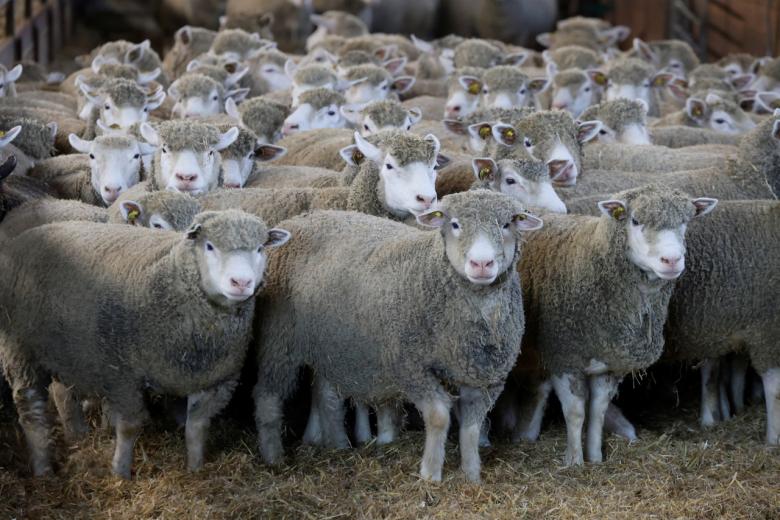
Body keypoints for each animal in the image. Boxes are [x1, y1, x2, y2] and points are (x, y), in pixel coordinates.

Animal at [0, 209, 290, 477]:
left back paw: (77, 435)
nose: (241, 282)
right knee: (31, 409)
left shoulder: (215, 381)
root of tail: (27, 236)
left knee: (62, 392)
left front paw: (195, 468)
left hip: (66, 350)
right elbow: (129, 427)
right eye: (209, 246)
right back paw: (43, 469)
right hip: (20, 349)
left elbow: (196, 427)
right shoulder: (121, 377)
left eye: (260, 248)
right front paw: (120, 473)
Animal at [253, 189, 542, 482]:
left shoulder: (485, 378)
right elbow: (439, 416)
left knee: (327, 395)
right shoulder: (409, 365)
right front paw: (430, 473)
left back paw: (338, 445)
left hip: (330, 344)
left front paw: (471, 475)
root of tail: (300, 219)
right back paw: (274, 456)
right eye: (455, 224)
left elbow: (471, 427)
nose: (481, 263)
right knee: (268, 395)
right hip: (280, 338)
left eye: (507, 224)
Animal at [517, 185, 716, 465]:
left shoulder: (609, 363)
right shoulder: (563, 356)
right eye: (635, 221)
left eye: (685, 222)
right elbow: (576, 412)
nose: (672, 260)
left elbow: (597, 410)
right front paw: (575, 462)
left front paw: (595, 457)